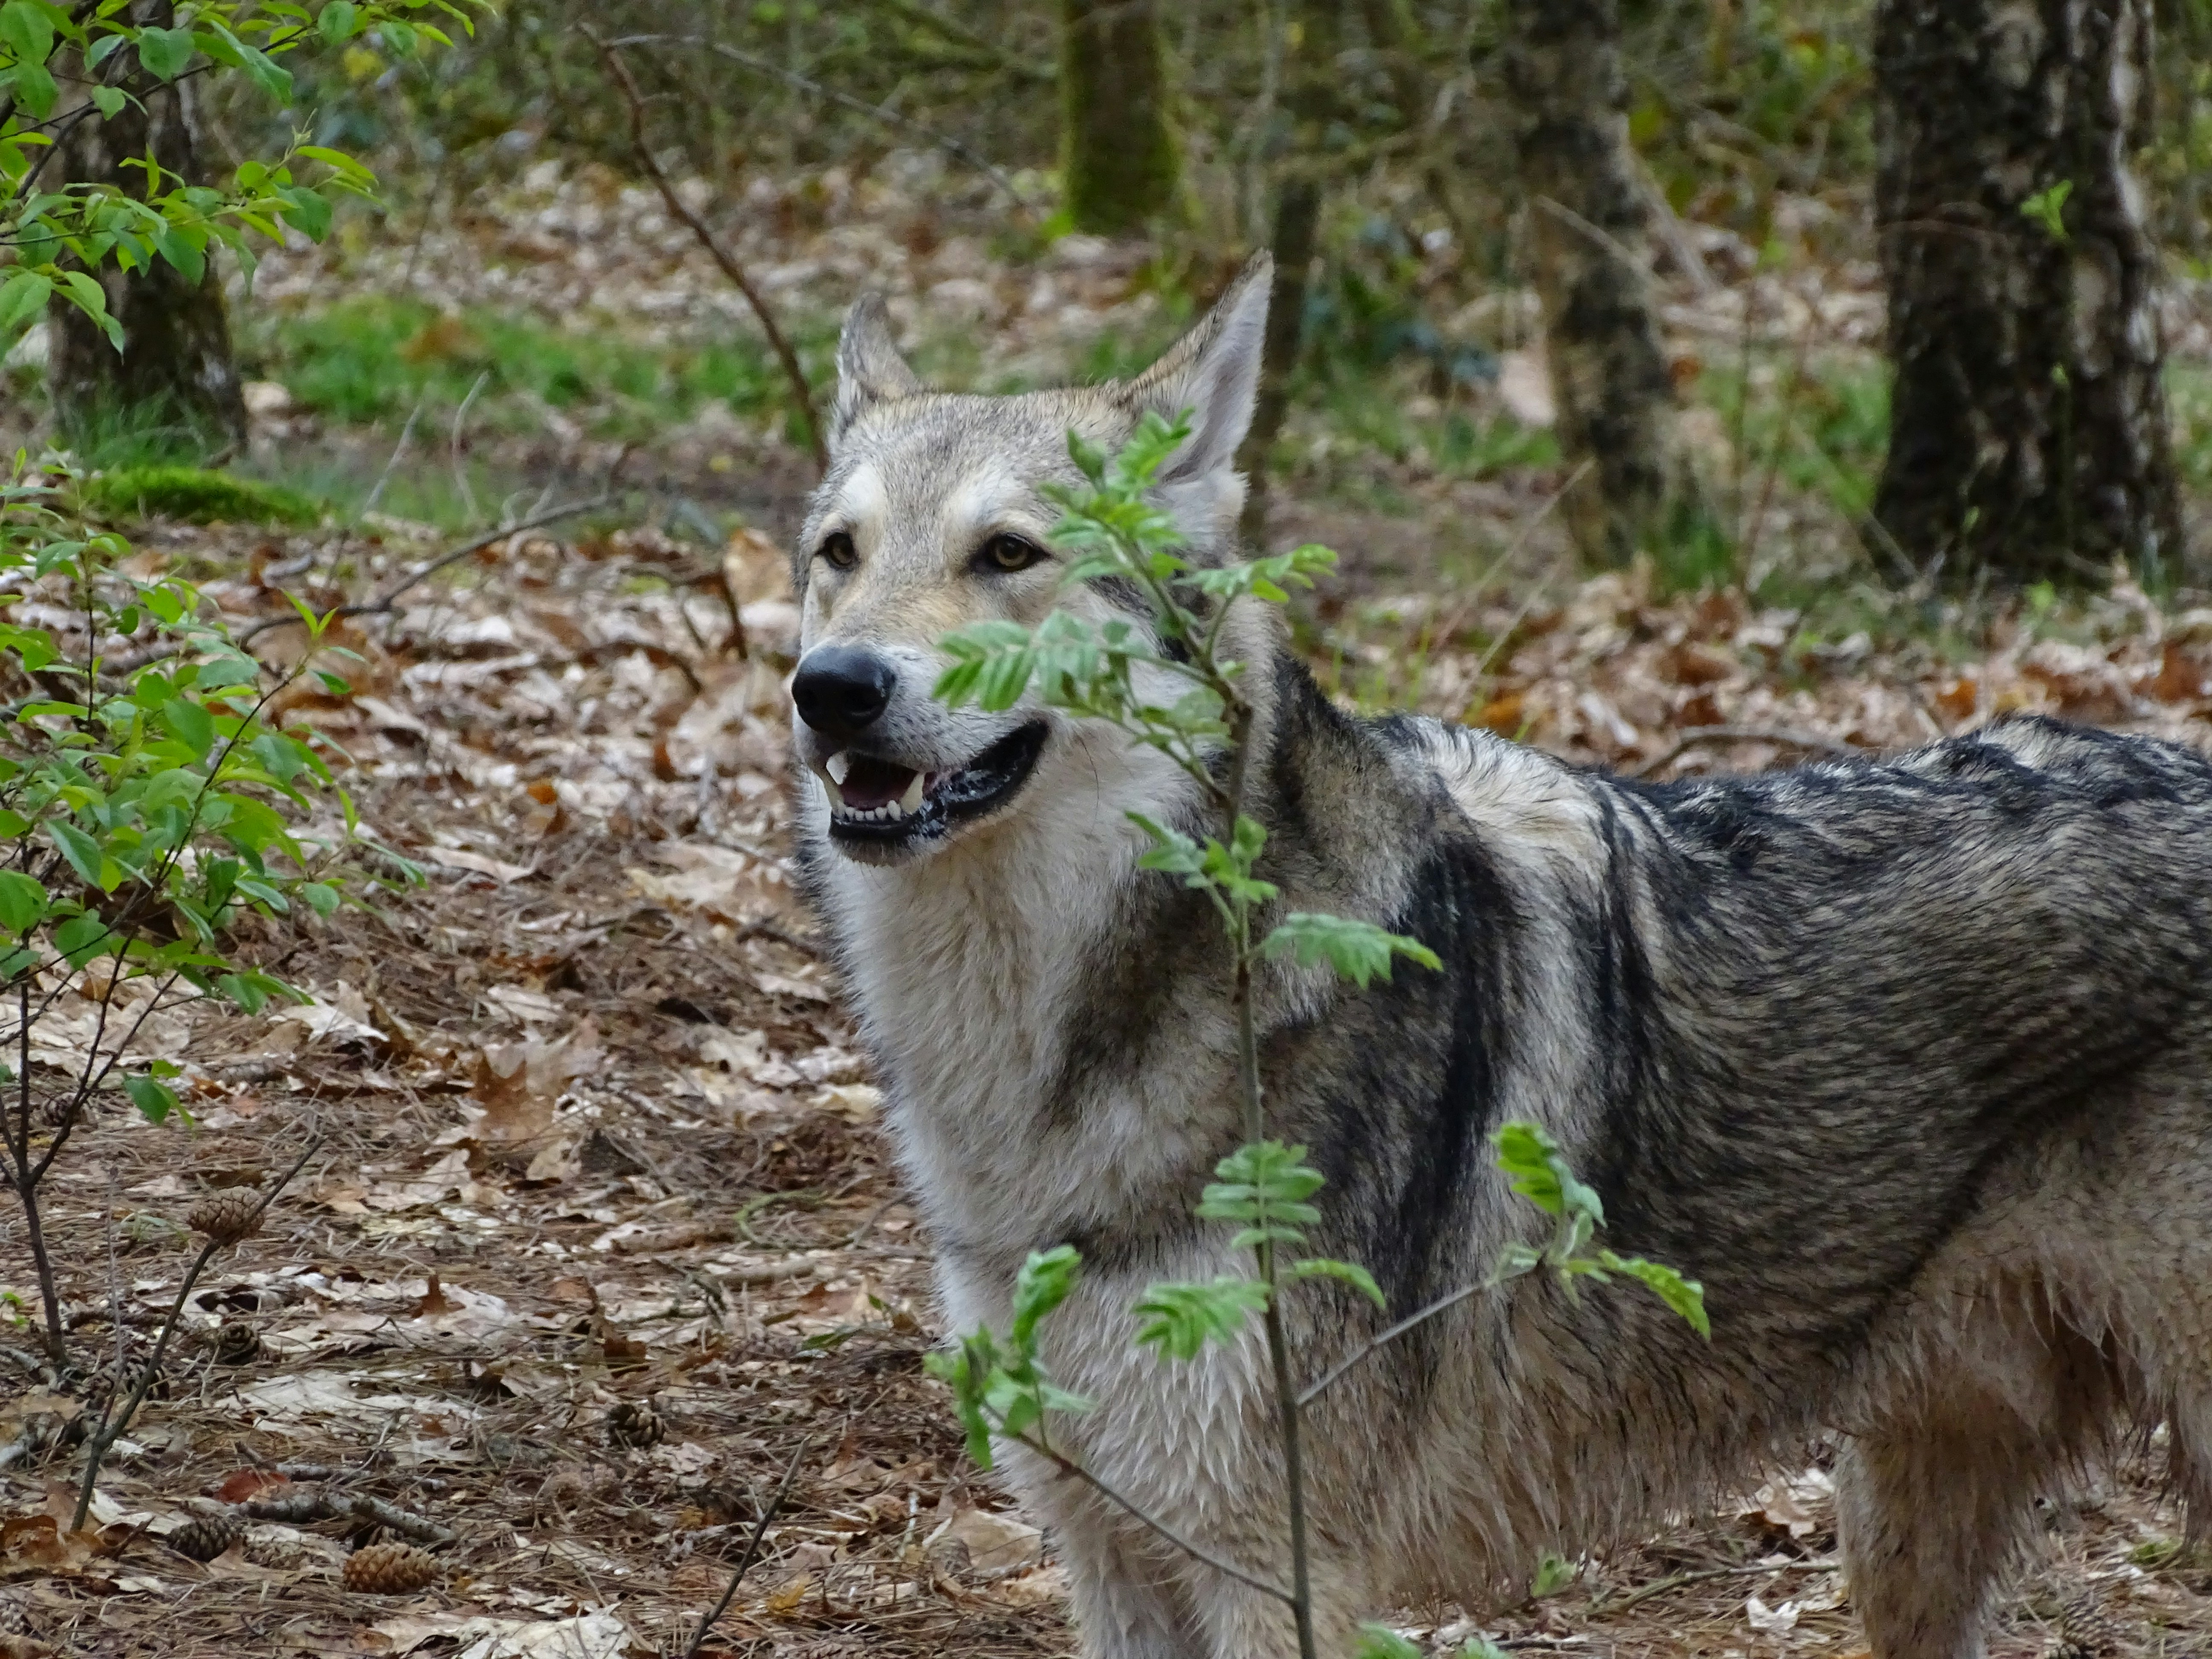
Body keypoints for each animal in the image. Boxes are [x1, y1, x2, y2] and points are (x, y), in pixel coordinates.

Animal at [785, 252, 2212, 1659]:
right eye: (838, 554)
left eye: (1007, 553)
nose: (830, 687)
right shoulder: (1113, 1555)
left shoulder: (1280, 1579)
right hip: (1904, 1534)